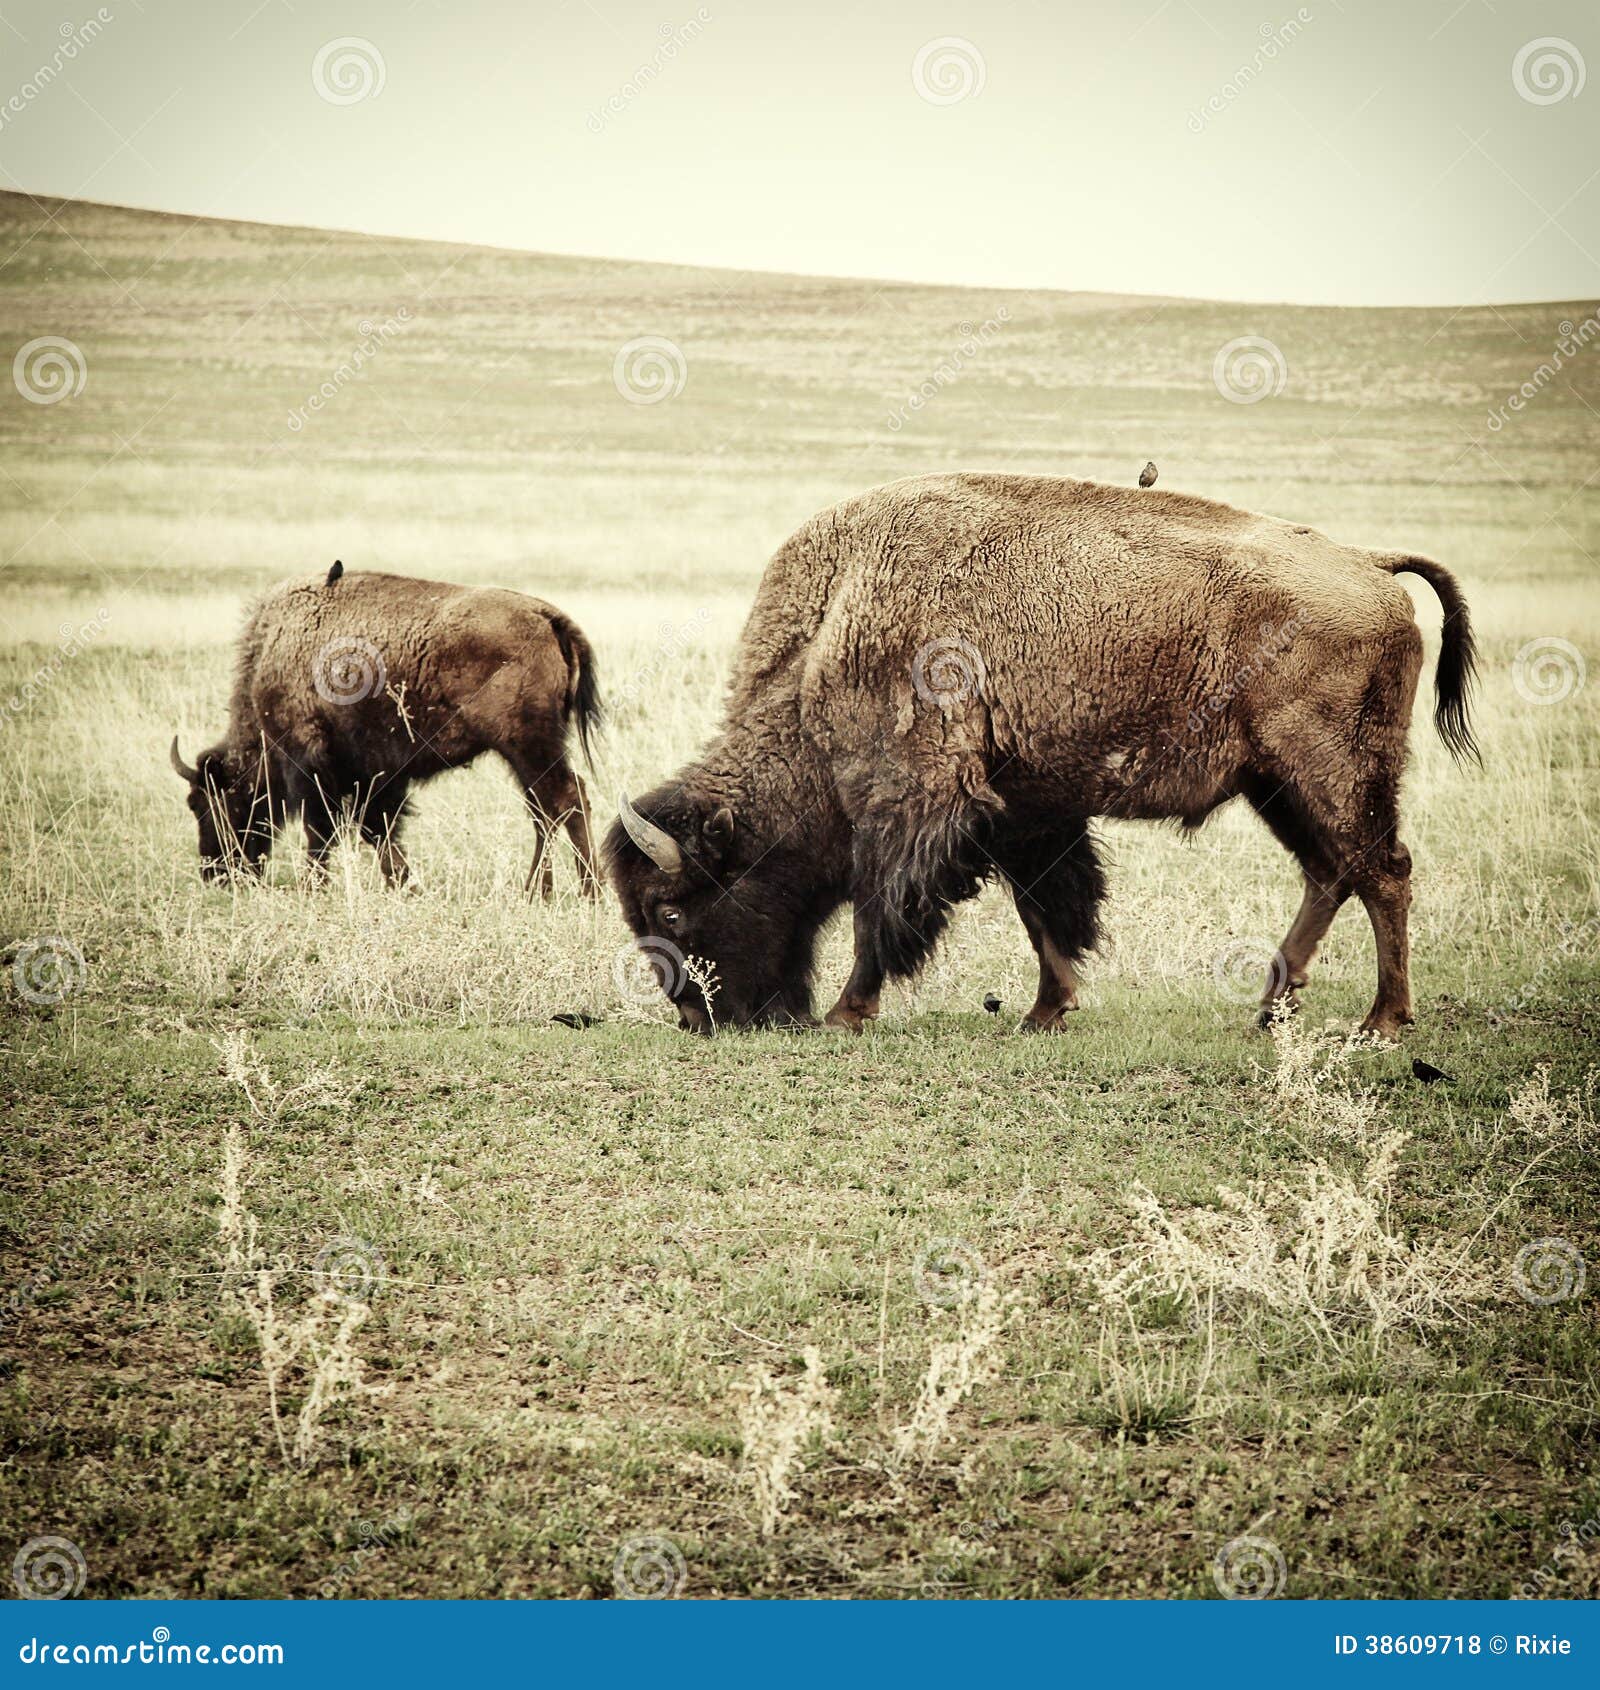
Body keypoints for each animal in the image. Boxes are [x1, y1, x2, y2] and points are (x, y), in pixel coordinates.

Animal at [172, 566, 601, 893]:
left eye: (202, 803)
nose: (215, 873)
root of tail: (548, 617)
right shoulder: (375, 774)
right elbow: (377, 828)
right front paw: (403, 885)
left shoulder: (310, 762)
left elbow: (322, 829)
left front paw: (314, 887)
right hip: (527, 751)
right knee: (547, 809)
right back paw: (546, 891)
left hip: (526, 745)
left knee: (564, 800)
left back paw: (582, 892)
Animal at [608, 473, 1477, 1038]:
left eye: (671, 909)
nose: (696, 1018)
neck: (830, 633)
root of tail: (1369, 565)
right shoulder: (1023, 811)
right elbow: (1044, 908)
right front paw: (1045, 1012)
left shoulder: (913, 802)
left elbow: (881, 908)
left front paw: (847, 1013)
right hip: (1276, 782)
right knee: (1332, 872)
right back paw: (1271, 1006)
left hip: (1330, 769)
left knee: (1382, 871)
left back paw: (1383, 1020)